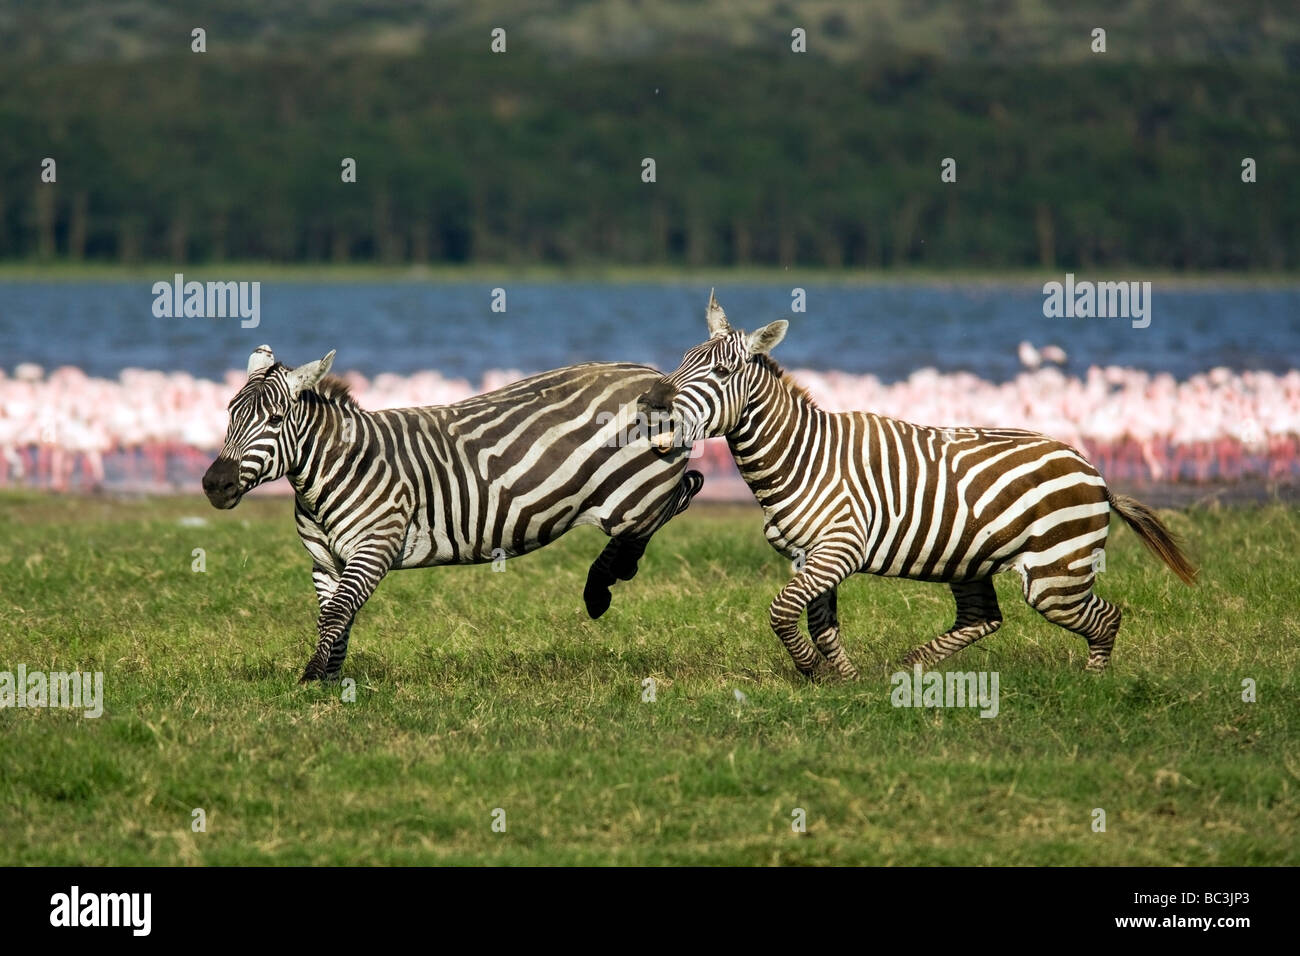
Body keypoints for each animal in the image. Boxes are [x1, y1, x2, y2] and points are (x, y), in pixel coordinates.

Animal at [203, 345, 703, 682]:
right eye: (229, 414)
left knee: (678, 497)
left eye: (274, 420)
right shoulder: (325, 561)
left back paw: (603, 584)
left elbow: (340, 610)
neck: (334, 470)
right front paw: (330, 676)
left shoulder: (373, 547)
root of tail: (655, 373)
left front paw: (311, 676)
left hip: (633, 494)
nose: (214, 485)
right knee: (677, 497)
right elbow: (334, 616)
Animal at [638, 293, 1195, 679]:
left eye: (721, 370)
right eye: (684, 358)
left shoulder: (839, 547)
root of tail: (1095, 472)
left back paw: (1092, 685)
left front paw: (812, 671)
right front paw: (846, 680)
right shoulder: (811, 555)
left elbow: (782, 611)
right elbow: (819, 621)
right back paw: (910, 667)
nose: (650, 407)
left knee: (1105, 618)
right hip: (971, 560)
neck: (800, 458)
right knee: (983, 618)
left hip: (1055, 575)